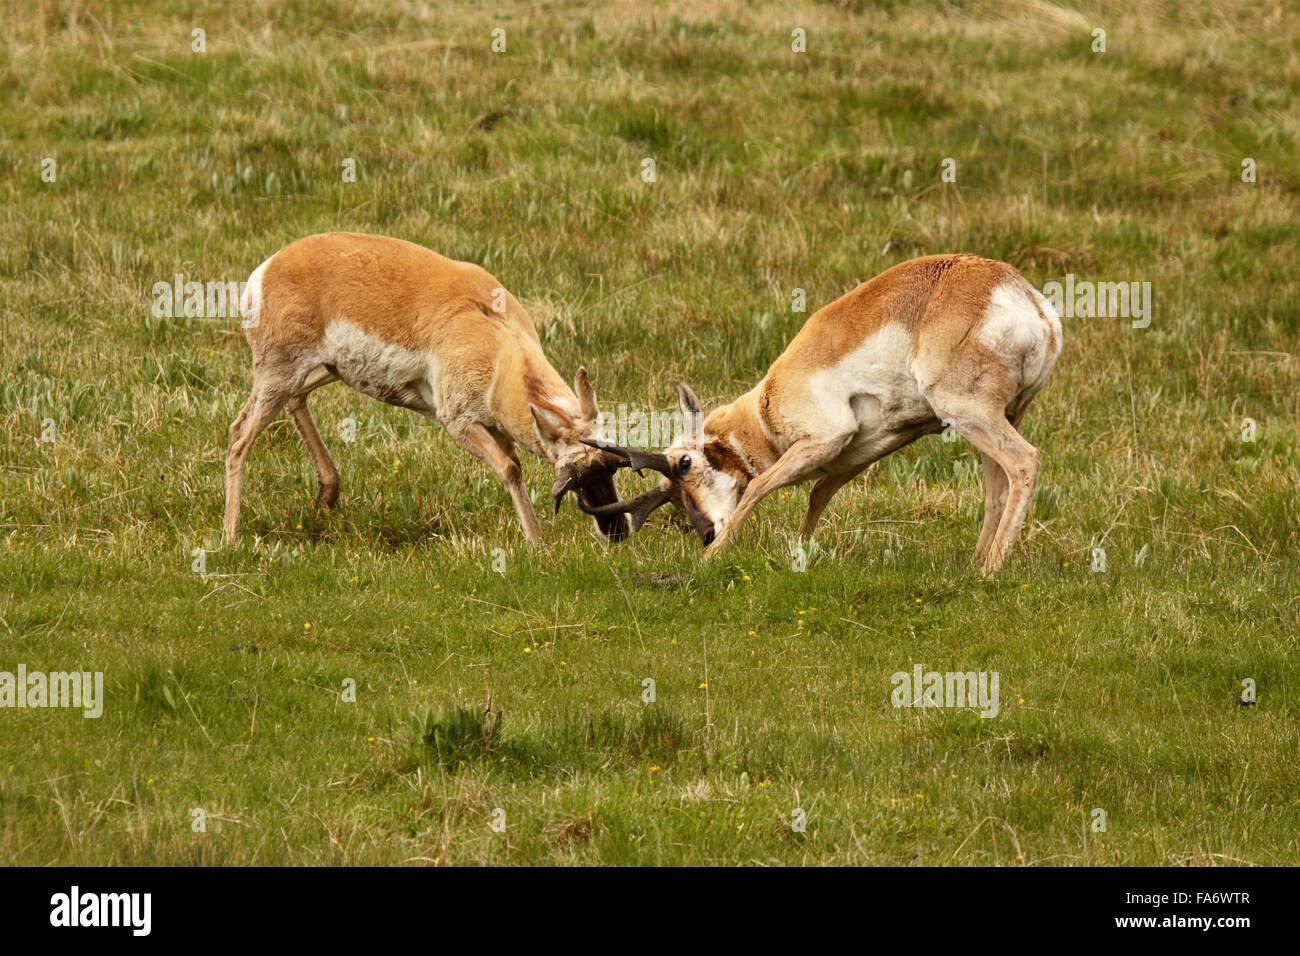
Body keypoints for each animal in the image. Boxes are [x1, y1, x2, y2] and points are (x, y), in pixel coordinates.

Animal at [223, 232, 627, 543]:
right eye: (572, 479)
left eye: (612, 465)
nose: (618, 532)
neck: (491, 327)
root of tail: (267, 268)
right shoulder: (458, 423)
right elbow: (511, 468)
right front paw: (537, 543)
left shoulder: (497, 426)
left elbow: (512, 461)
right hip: (278, 374)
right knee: (239, 434)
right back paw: (232, 536)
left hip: (324, 370)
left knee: (296, 400)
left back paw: (327, 495)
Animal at [581, 254, 1062, 572]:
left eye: (684, 464)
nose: (706, 534)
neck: (762, 411)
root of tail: (1028, 302)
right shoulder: (858, 453)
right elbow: (818, 494)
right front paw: (798, 551)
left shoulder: (823, 439)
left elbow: (760, 486)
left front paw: (713, 558)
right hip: (1000, 417)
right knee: (997, 488)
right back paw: (976, 563)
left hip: (969, 413)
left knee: (1025, 461)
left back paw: (992, 567)